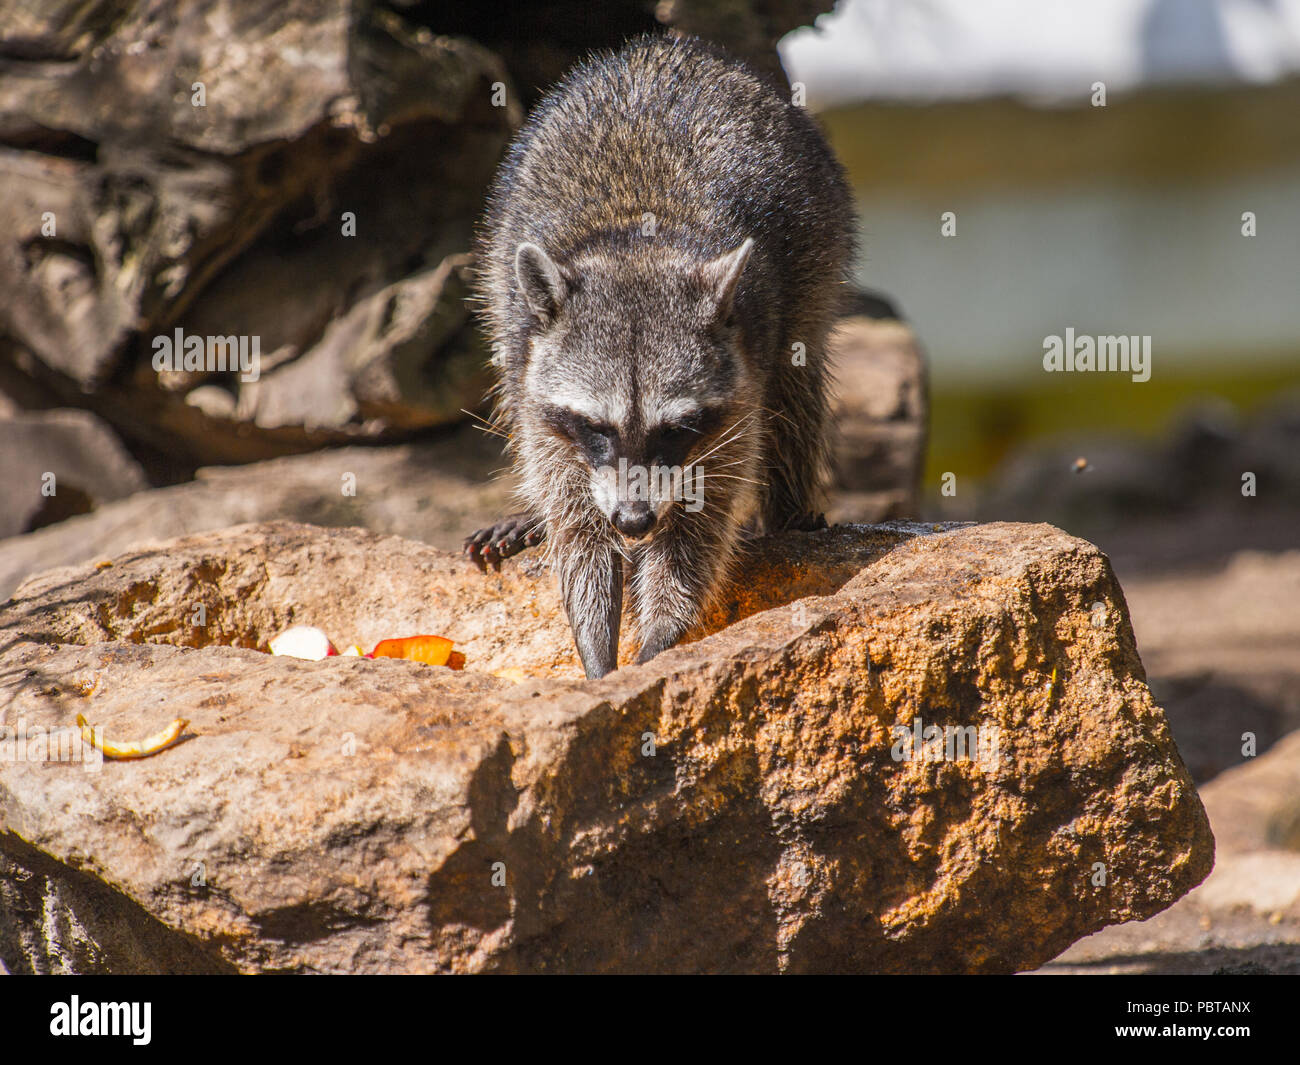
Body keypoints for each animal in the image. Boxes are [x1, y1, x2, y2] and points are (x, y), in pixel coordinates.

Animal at [465, 33, 854, 679]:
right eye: (596, 426)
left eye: (676, 428)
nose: (633, 522)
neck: (636, 241)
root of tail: (671, 47)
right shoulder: (539, 377)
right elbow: (577, 523)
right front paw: (595, 642)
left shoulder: (735, 392)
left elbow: (698, 524)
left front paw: (659, 639)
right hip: (500, 269)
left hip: (820, 238)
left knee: (796, 386)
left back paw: (791, 510)